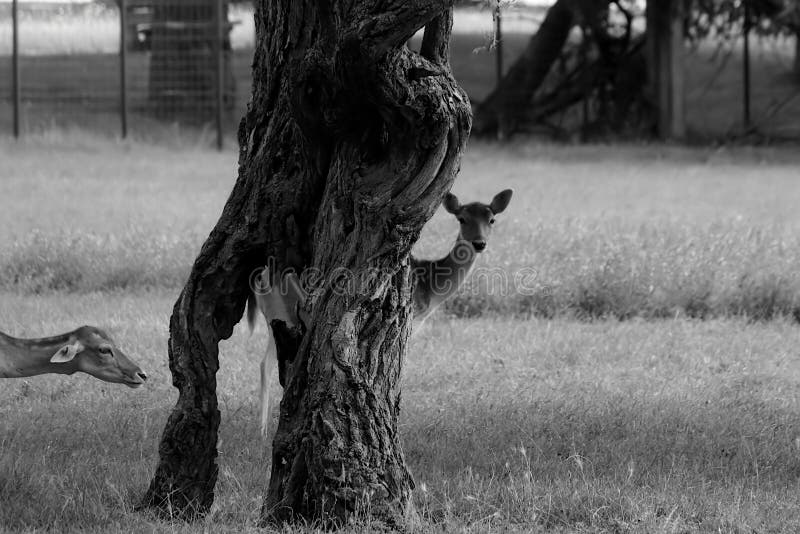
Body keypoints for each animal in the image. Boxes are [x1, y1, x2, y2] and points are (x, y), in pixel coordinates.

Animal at [247, 189, 513, 437]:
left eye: (491, 219)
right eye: (461, 218)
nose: (479, 243)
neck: (432, 289)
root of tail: (261, 275)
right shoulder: (411, 317)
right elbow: (400, 366)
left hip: (274, 314)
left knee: (267, 362)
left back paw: (262, 430)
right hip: (289, 307)